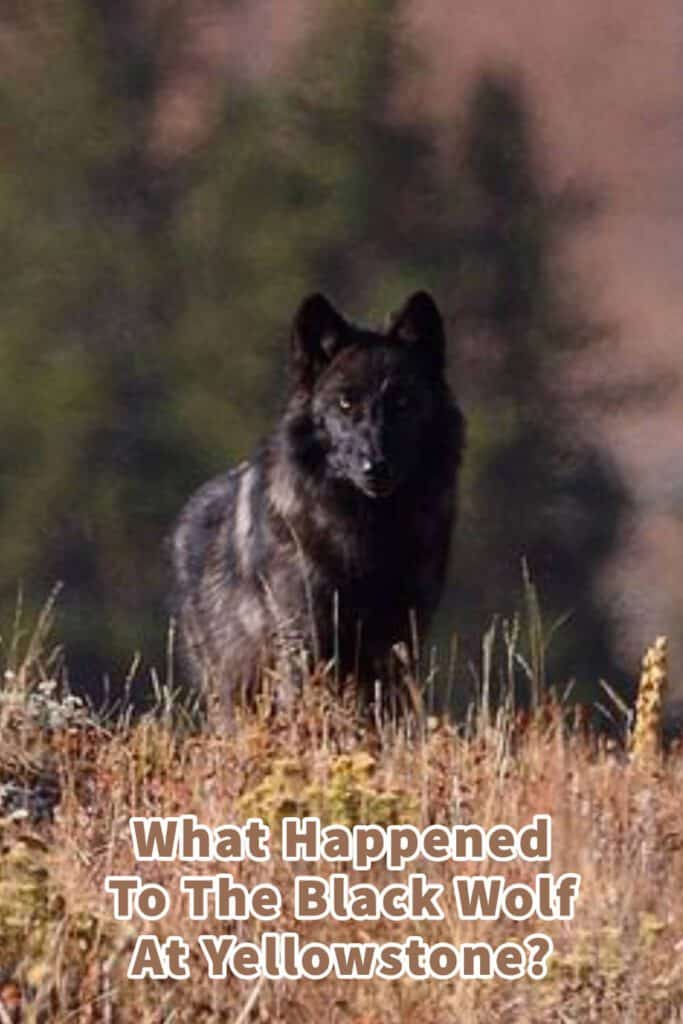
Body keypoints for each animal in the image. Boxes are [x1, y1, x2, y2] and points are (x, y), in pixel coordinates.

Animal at [170, 290, 465, 713]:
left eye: (402, 402)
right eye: (345, 403)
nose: (376, 466)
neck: (369, 532)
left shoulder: (400, 639)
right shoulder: (305, 640)